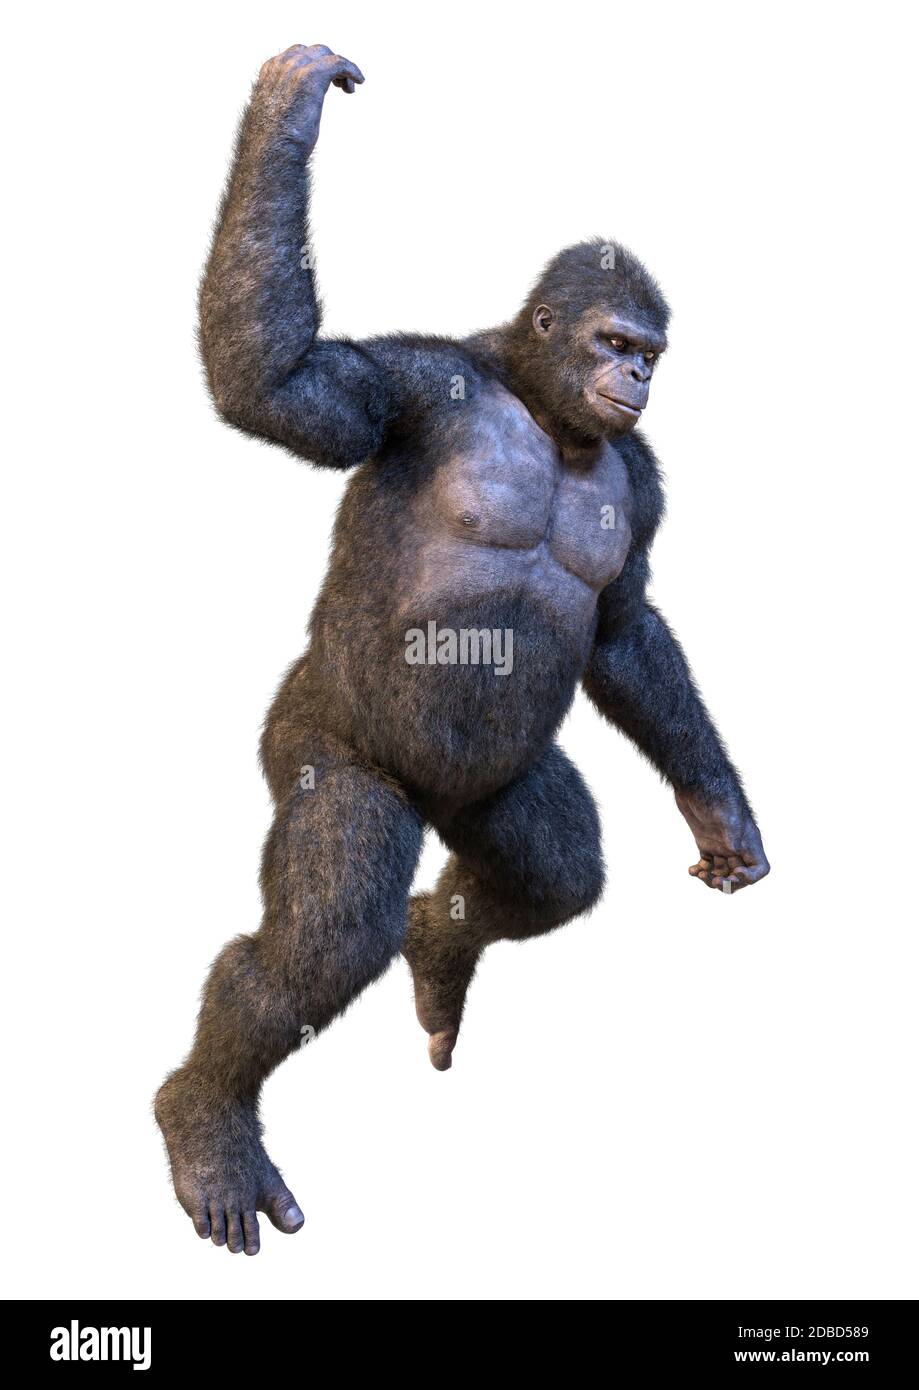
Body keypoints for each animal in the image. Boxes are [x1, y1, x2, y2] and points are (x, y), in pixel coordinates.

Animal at [155, 44, 770, 1256]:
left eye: (648, 353)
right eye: (612, 342)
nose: (637, 378)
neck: (543, 410)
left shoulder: (645, 475)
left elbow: (625, 627)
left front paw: (718, 807)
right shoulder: (403, 383)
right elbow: (282, 387)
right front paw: (290, 105)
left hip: (495, 790)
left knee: (552, 871)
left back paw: (439, 949)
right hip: (324, 746)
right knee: (325, 934)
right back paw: (207, 1121)